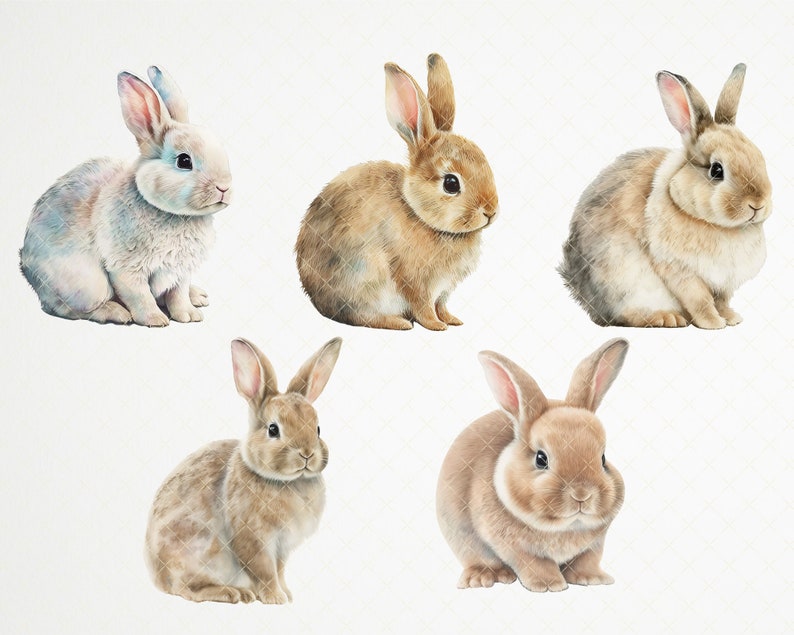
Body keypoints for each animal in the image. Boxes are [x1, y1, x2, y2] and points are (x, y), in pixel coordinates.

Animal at [19, 66, 232, 327]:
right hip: (88, 285)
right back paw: (116, 313)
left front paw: (188, 316)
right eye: (184, 161)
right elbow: (140, 296)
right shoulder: (127, 269)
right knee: (67, 309)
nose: (224, 187)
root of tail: (26, 267)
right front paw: (155, 320)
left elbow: (178, 295)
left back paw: (198, 296)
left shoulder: (180, 272)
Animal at [145, 336, 342, 604]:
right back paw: (233, 593)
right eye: (273, 429)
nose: (307, 454)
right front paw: (275, 598)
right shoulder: (254, 538)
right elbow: (264, 569)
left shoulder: (281, 548)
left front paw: (287, 594)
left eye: (318, 428)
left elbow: (279, 570)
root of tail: (156, 574)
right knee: (186, 589)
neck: (285, 481)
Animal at [295, 53, 498, 331]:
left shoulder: (443, 291)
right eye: (451, 183)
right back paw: (398, 322)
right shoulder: (415, 280)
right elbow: (424, 306)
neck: (421, 215)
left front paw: (452, 320)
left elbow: (441, 305)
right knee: (359, 316)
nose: (491, 211)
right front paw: (437, 326)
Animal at [436, 338, 628, 592]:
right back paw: (485, 577)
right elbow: (535, 563)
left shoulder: (594, 544)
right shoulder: (513, 546)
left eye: (603, 459)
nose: (582, 495)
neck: (565, 526)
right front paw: (549, 585)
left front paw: (592, 579)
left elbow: (586, 559)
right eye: (541, 459)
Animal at [559, 64, 772, 329]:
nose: (758, 204)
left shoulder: (723, 284)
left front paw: (731, 318)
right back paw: (666, 317)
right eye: (716, 170)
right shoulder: (679, 270)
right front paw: (713, 323)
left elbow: (721, 300)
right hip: (625, 283)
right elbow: (700, 299)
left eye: (760, 158)